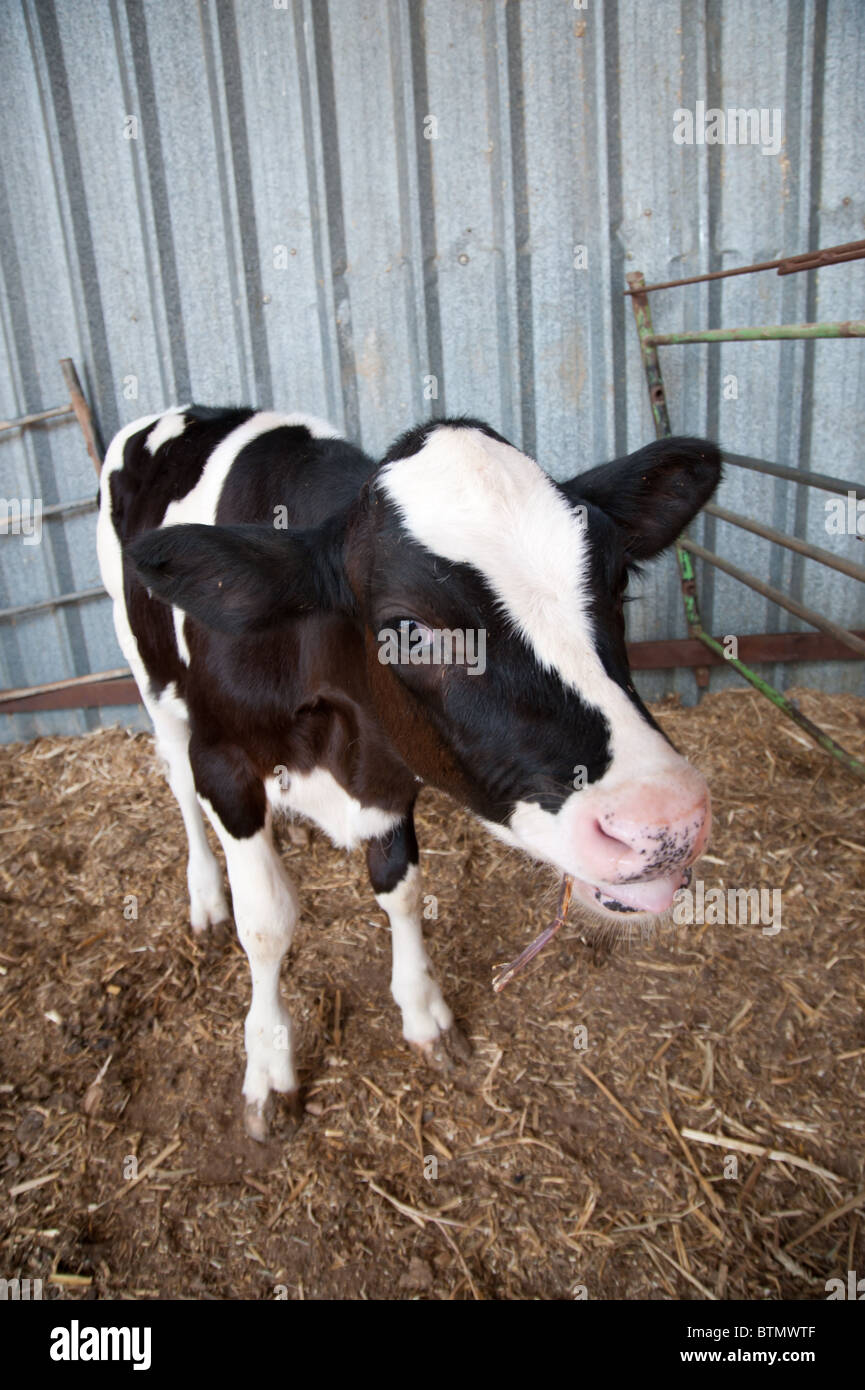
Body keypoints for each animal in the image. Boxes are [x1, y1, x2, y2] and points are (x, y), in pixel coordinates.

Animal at [97, 407, 720, 1139]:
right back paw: (205, 895)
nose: (666, 822)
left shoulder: (392, 768)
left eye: (618, 582)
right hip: (143, 666)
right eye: (411, 631)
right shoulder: (221, 760)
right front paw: (269, 1068)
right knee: (174, 777)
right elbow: (268, 921)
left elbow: (400, 888)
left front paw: (424, 1013)